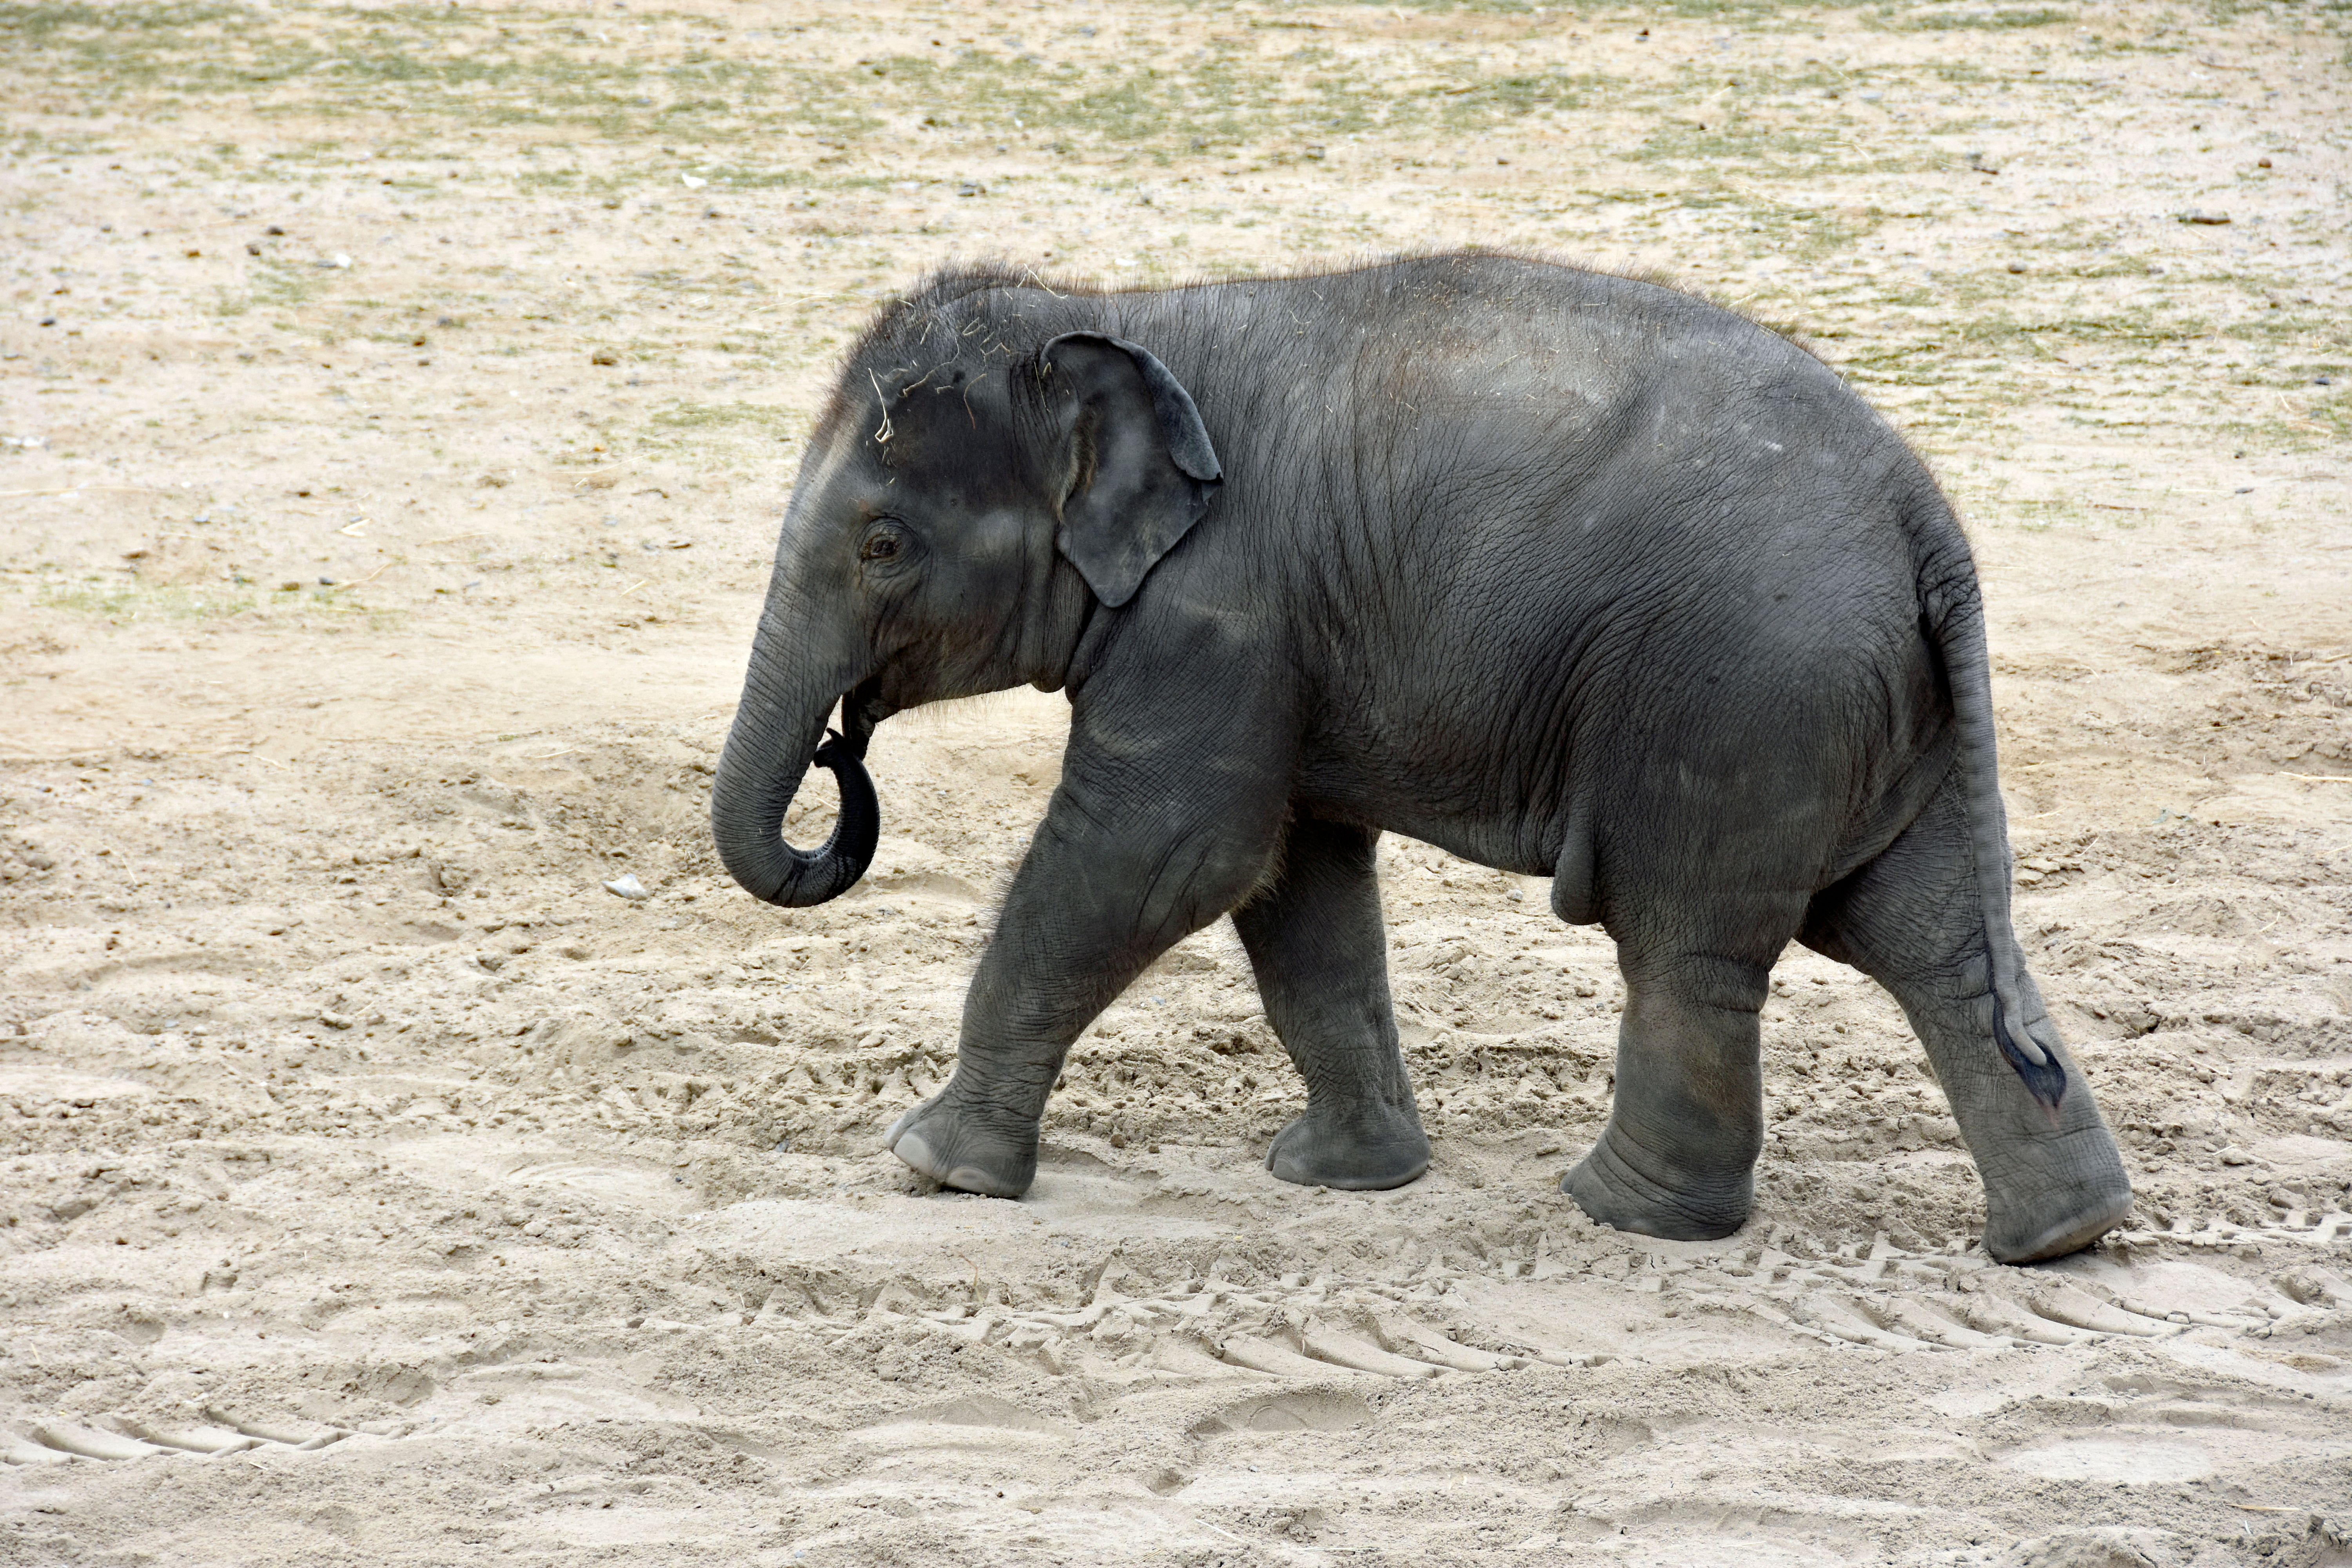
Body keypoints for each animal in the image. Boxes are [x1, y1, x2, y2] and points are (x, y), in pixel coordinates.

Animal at [710, 253, 2133, 1265]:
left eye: (883, 545)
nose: (841, 748)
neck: (1112, 311)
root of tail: (1927, 516)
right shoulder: (1281, 640)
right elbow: (1298, 887)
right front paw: (1344, 1179)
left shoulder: (1219, 610)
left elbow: (1169, 851)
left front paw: (933, 1166)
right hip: (1867, 710)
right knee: (1934, 944)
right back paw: (2065, 1235)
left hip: (1739, 693)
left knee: (1690, 944)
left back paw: (1623, 1215)